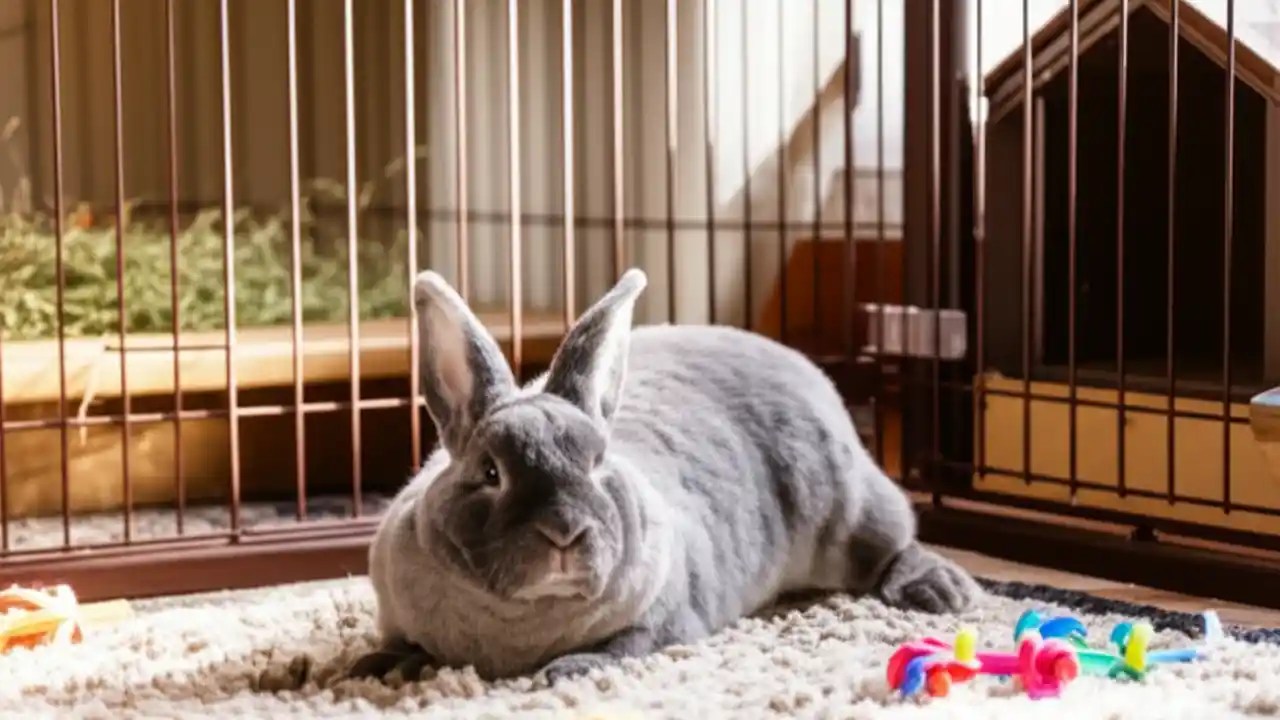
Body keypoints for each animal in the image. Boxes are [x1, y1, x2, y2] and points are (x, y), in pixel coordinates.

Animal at [352, 267, 979, 684]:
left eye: (598, 464)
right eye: (489, 471)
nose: (565, 532)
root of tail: (804, 367)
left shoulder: (668, 619)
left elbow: (629, 646)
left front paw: (569, 669)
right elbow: (406, 645)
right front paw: (374, 666)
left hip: (846, 506)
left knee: (895, 543)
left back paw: (944, 591)